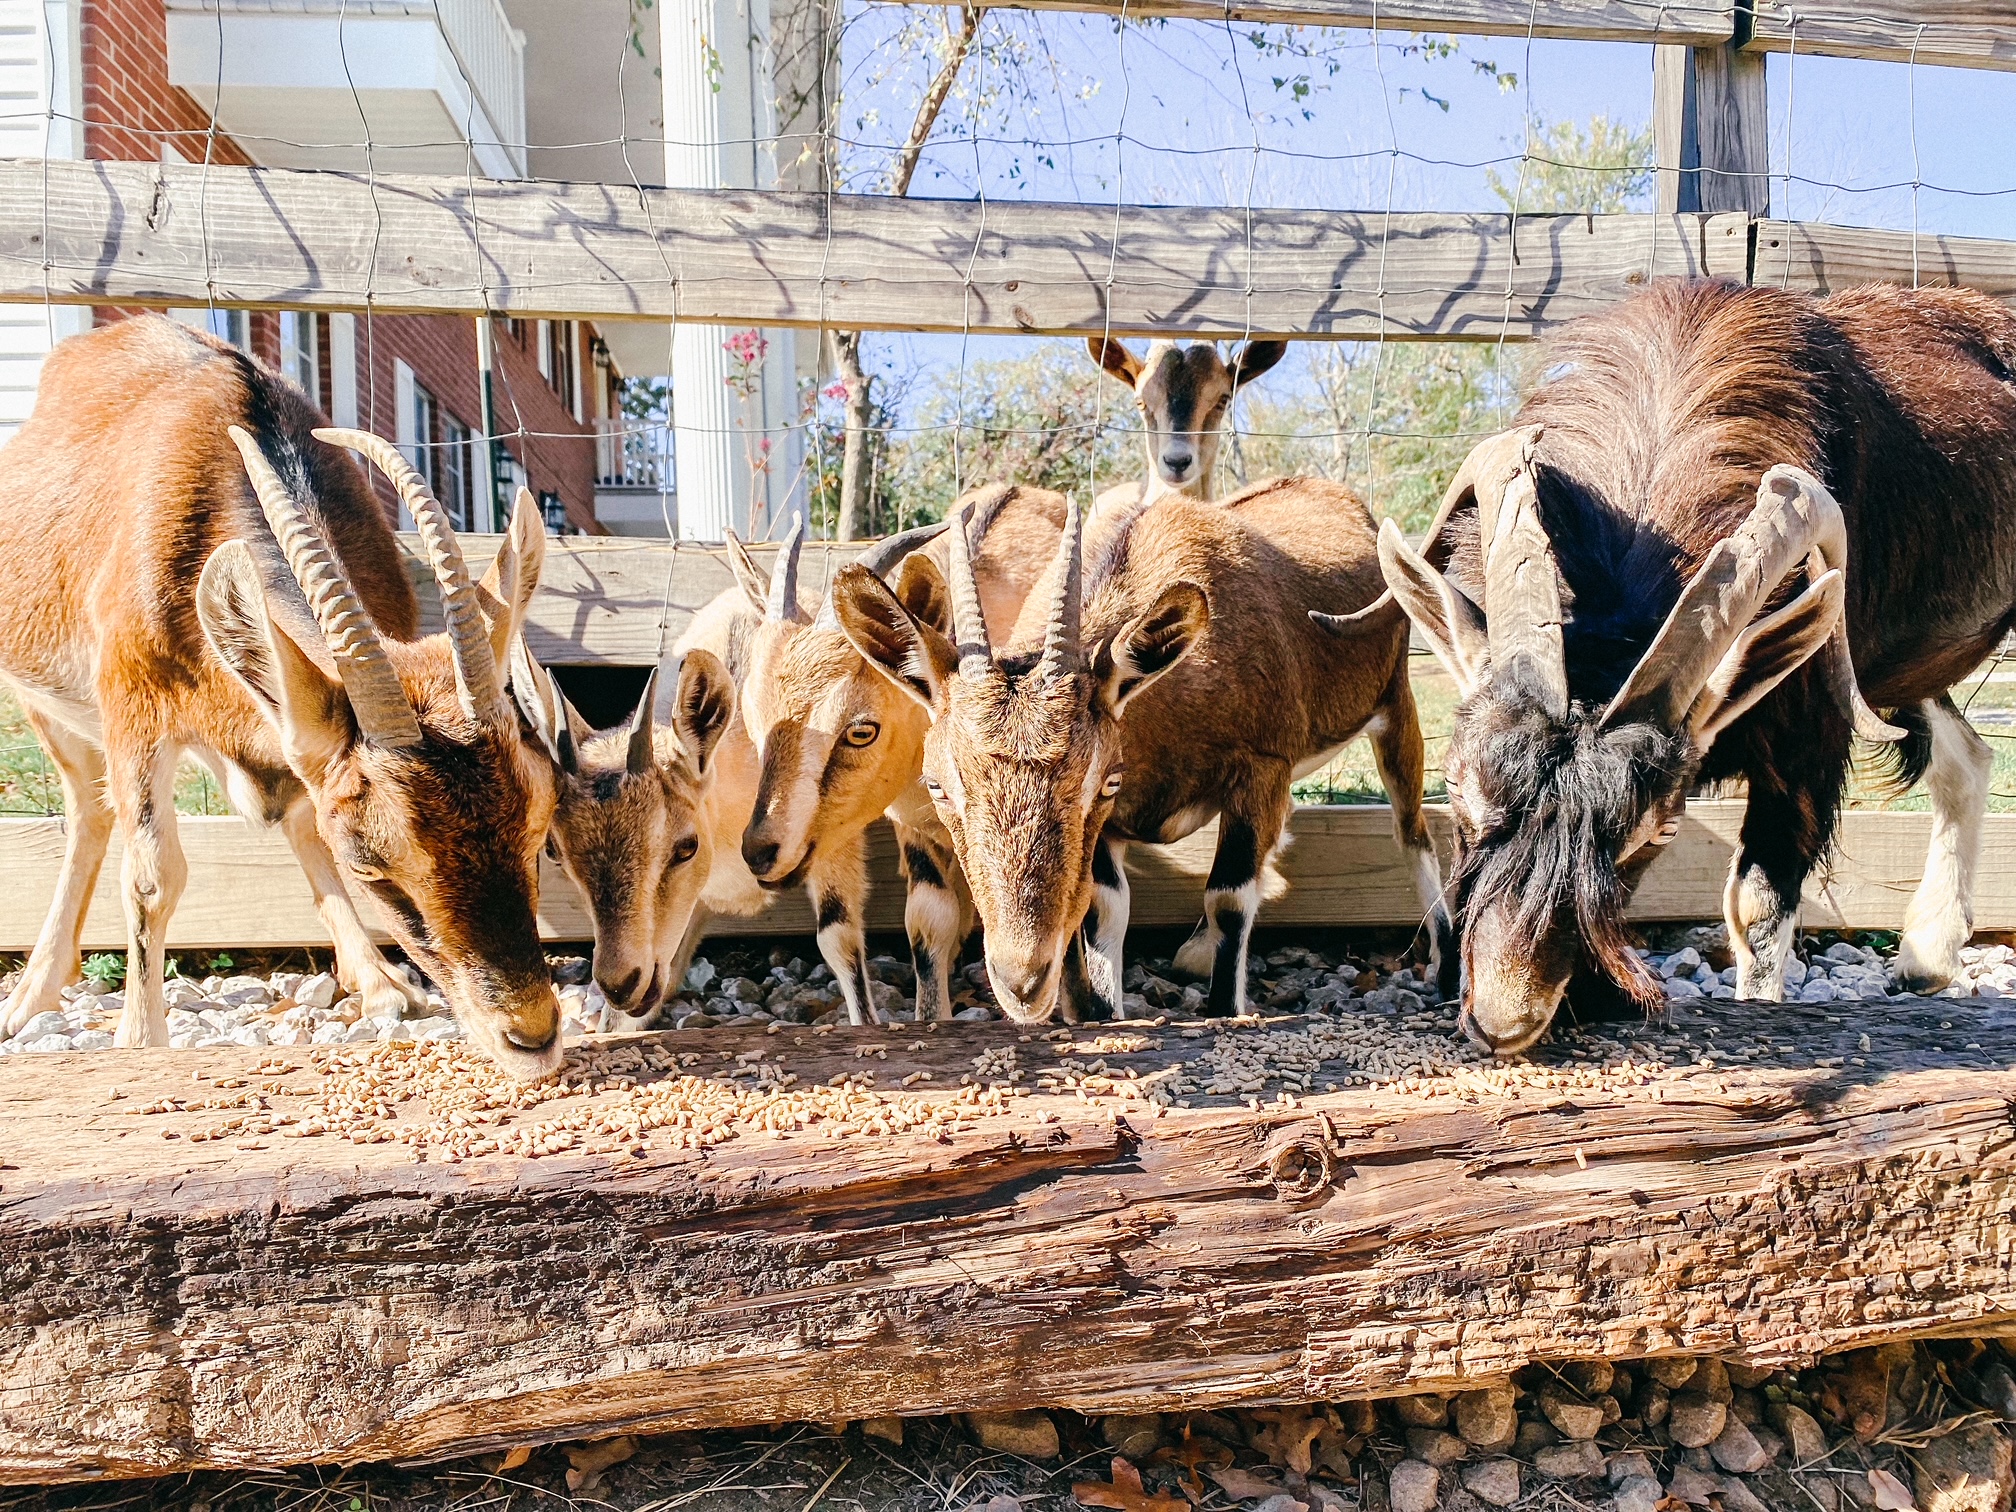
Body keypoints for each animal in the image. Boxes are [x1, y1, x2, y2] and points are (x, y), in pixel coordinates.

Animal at [0, 315, 563, 1077]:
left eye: (538, 822)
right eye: (369, 860)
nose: (532, 1034)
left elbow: (304, 814)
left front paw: (381, 984)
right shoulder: (132, 703)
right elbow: (153, 874)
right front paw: (140, 1039)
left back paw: (378, 982)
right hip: (45, 700)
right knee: (88, 811)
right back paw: (32, 994)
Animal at [829, 477, 1448, 1023]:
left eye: (1104, 779)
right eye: (938, 784)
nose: (1022, 983)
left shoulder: (1260, 767)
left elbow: (1228, 895)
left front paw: (1225, 1009)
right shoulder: (1112, 833)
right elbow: (1106, 910)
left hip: (1396, 706)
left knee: (1411, 828)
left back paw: (1443, 966)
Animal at [1326, 278, 2016, 1055]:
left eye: (1656, 831)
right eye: (1459, 793)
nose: (1504, 1020)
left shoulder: (1811, 724)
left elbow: (1757, 906)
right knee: (1967, 757)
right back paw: (1927, 957)